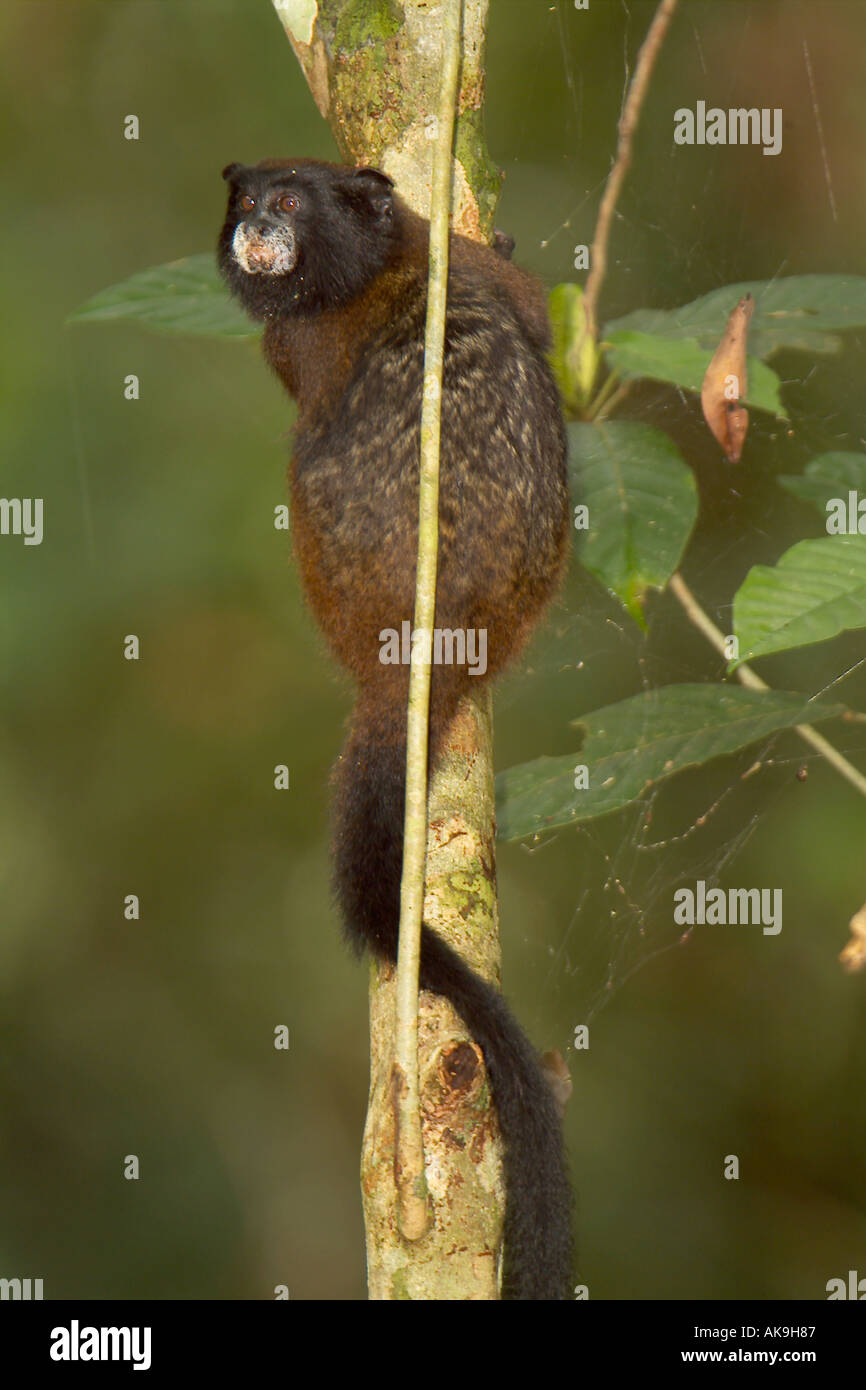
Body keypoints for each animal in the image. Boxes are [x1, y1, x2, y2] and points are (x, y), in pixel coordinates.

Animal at [218, 158, 572, 1300]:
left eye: (290, 204)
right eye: (251, 199)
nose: (257, 227)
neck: (380, 261)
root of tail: (430, 636)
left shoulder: (303, 340)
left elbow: (296, 383)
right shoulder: (463, 258)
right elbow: (534, 314)